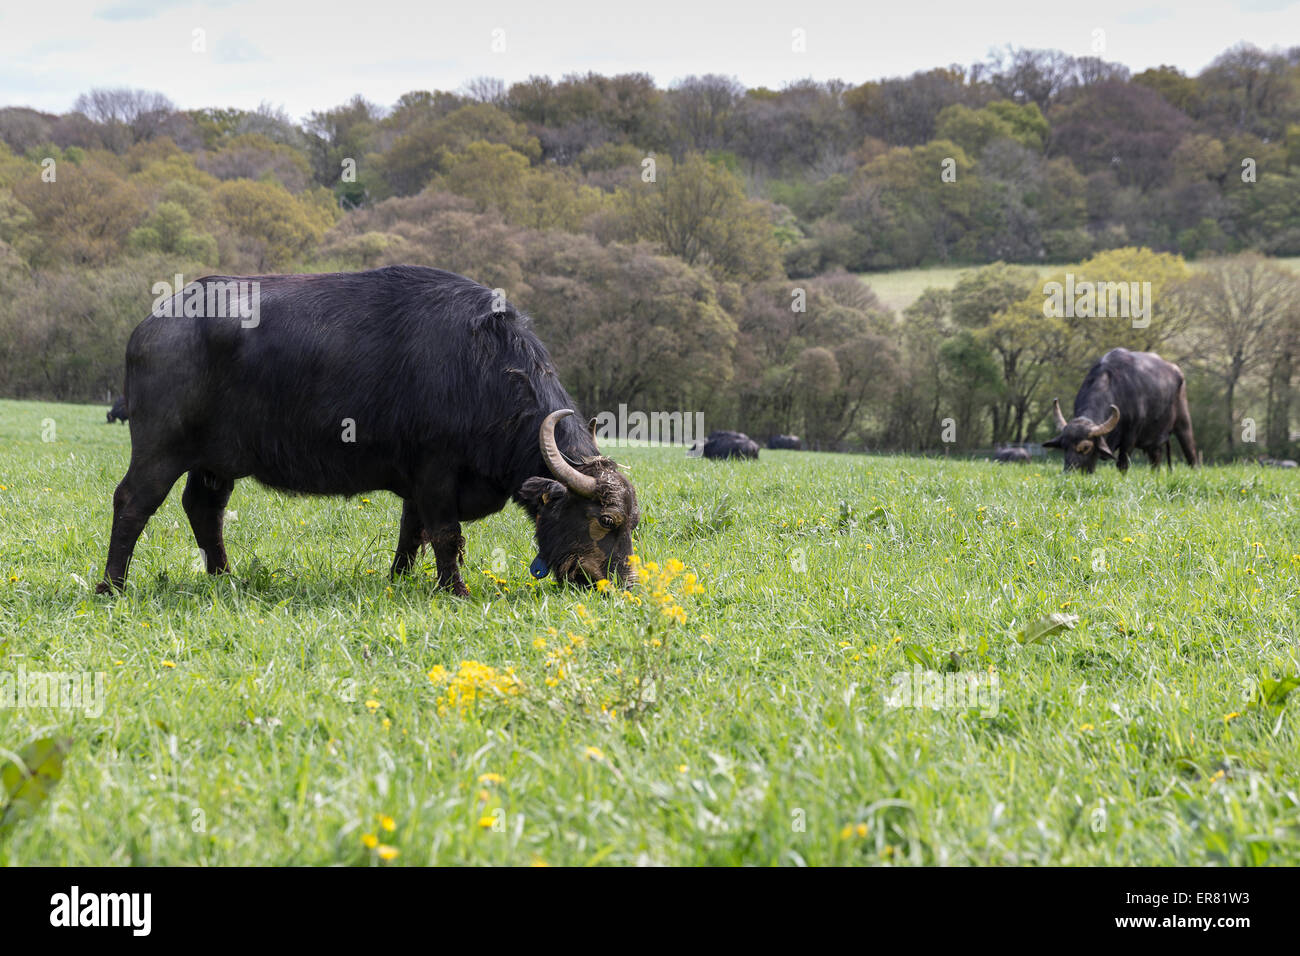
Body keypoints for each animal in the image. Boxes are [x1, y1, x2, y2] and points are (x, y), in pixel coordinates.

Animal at [97, 266, 638, 595]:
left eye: (633, 524)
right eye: (606, 520)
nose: (625, 586)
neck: (481, 366)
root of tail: (152, 325)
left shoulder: (416, 483)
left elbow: (411, 534)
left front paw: (399, 581)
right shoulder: (436, 471)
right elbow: (446, 534)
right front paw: (456, 589)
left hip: (215, 461)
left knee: (203, 509)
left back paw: (224, 578)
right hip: (160, 449)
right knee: (132, 503)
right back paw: (112, 586)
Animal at [1044, 348, 1197, 473]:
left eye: (1086, 447)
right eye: (1064, 446)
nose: (1069, 472)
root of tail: (1177, 371)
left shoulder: (1130, 436)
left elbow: (1122, 464)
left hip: (1183, 422)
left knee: (1191, 454)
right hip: (1154, 441)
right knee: (1156, 461)